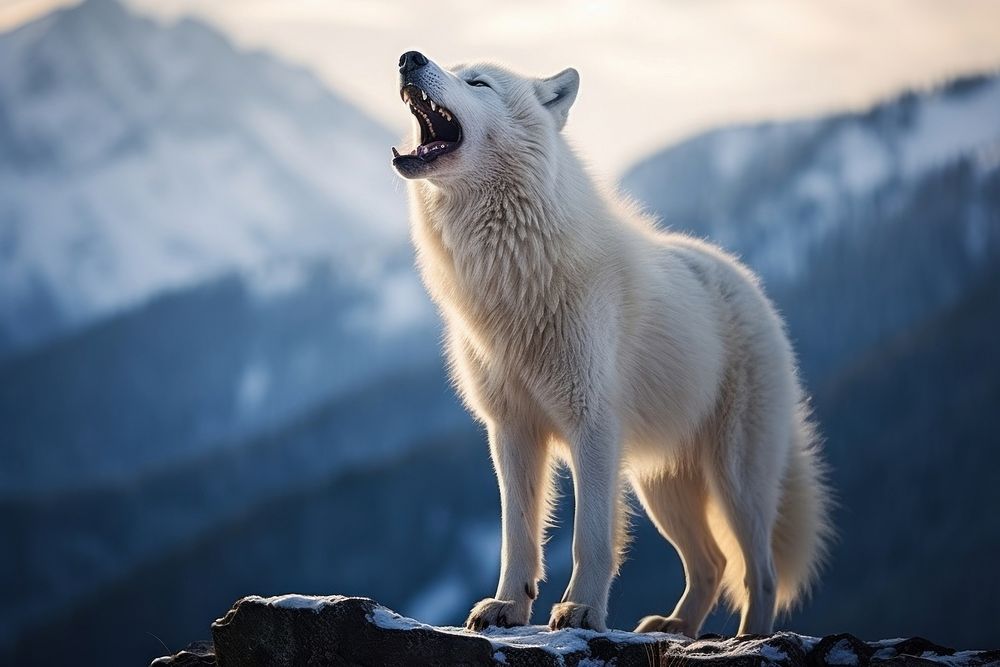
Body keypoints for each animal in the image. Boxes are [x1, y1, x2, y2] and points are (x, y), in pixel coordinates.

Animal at [390, 50, 832, 637]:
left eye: (477, 83)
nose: (408, 57)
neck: (515, 273)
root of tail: (750, 284)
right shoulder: (511, 432)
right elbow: (517, 537)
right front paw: (508, 607)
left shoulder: (592, 426)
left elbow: (591, 538)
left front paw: (581, 611)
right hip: (661, 486)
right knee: (712, 563)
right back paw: (676, 627)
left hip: (735, 479)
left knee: (757, 571)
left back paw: (748, 638)